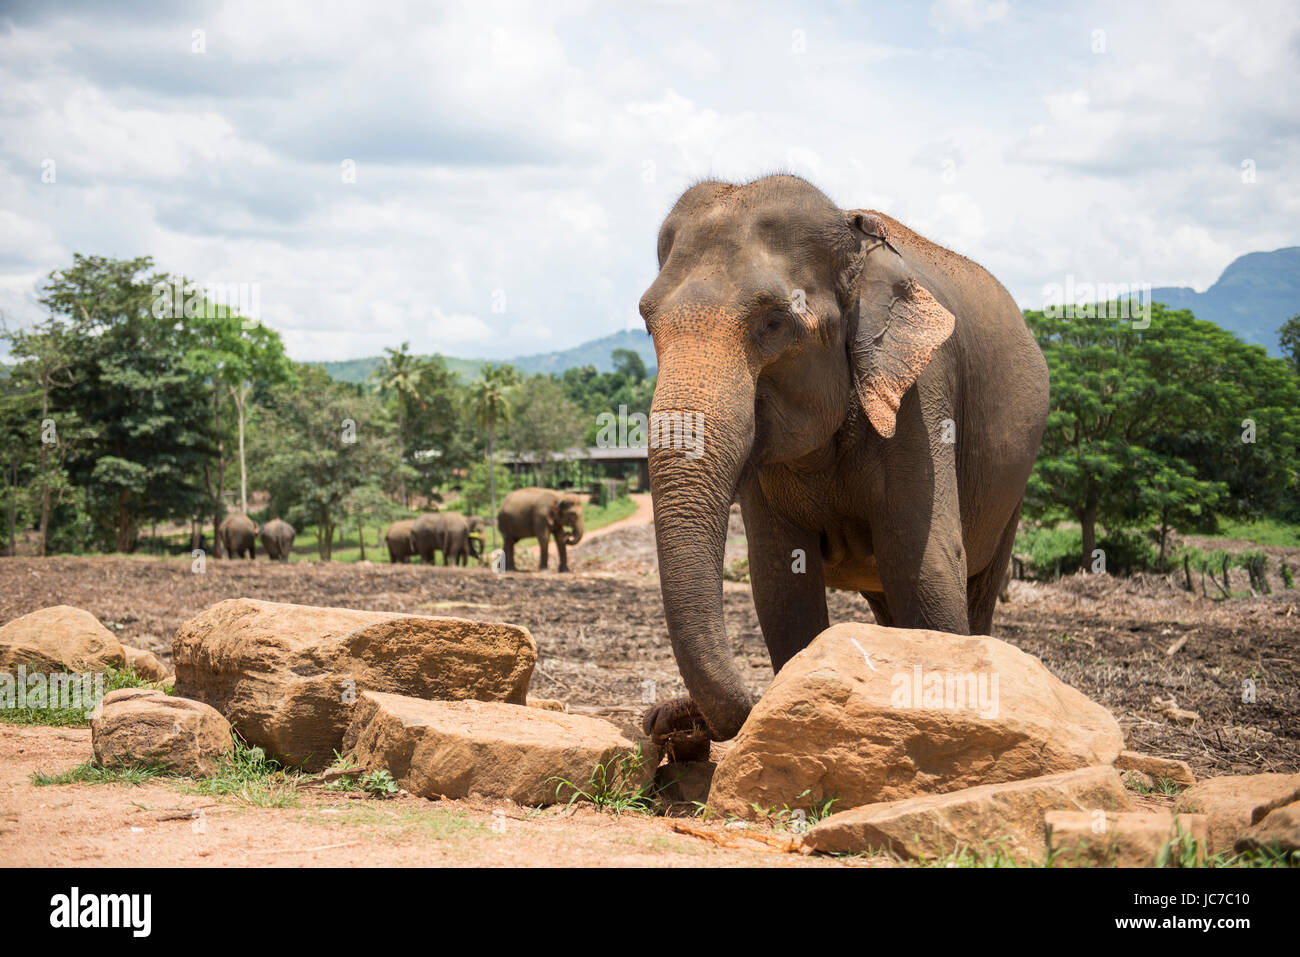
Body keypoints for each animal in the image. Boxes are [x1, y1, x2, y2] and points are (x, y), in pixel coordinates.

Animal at [636, 175, 1050, 745]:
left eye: (774, 322)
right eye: (647, 322)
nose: (673, 721)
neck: (855, 243)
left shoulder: (923, 391)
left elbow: (924, 566)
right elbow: (782, 582)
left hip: (1015, 481)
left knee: (977, 585)